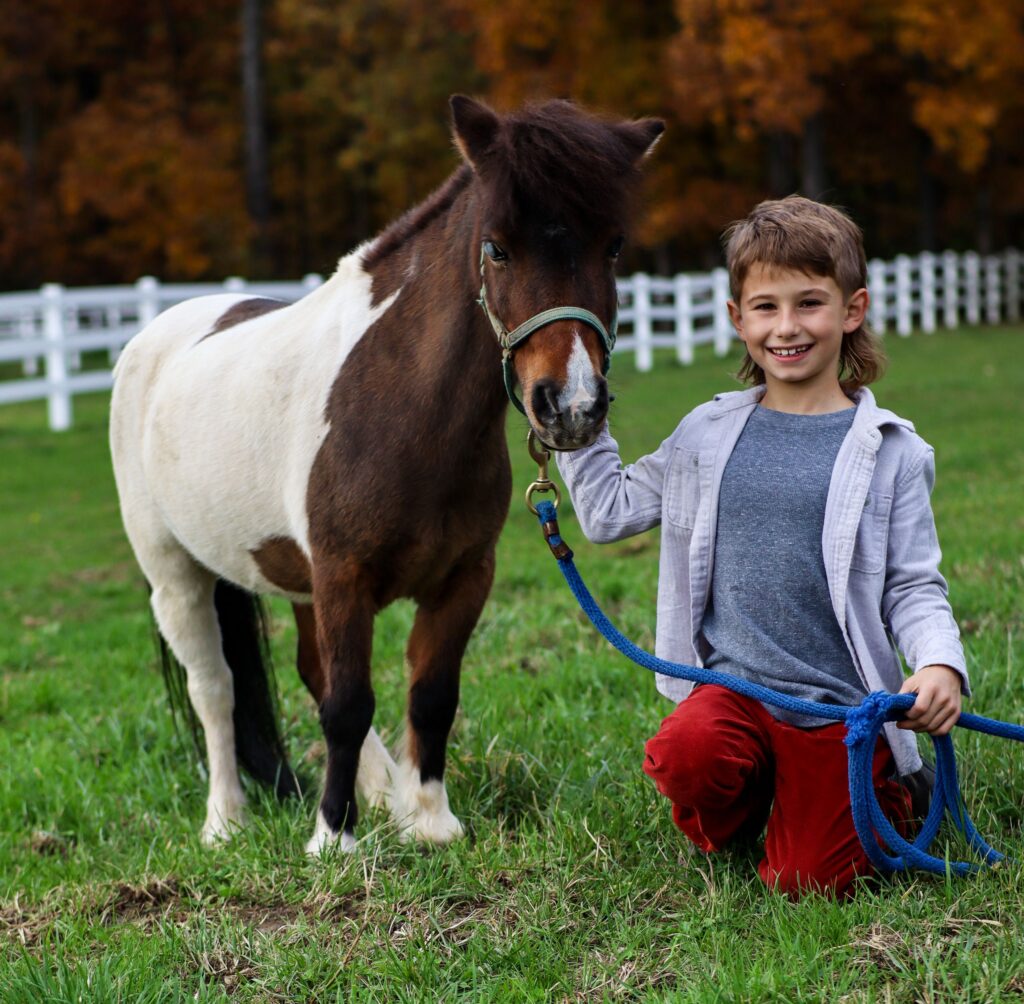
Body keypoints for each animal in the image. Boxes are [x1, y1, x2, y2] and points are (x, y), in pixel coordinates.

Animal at [109, 96, 663, 855]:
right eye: (496, 247)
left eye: (611, 246)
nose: (572, 405)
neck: (402, 410)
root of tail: (159, 334)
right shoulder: (343, 576)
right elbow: (347, 703)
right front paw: (332, 840)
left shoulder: (462, 577)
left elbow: (430, 694)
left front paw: (425, 818)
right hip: (177, 575)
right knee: (215, 688)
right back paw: (225, 820)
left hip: (298, 582)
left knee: (307, 672)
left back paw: (374, 792)